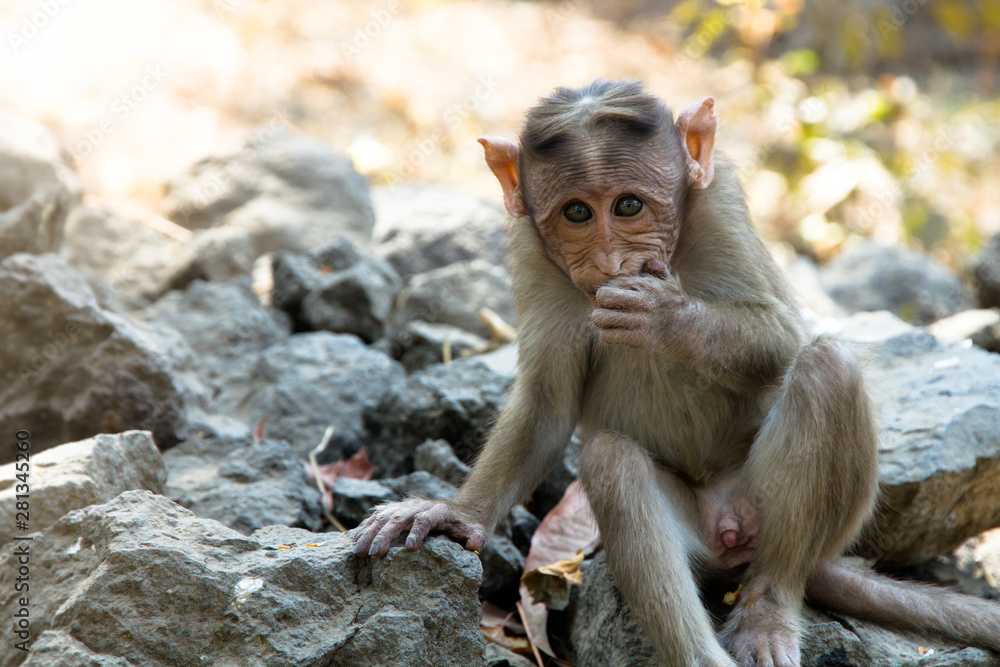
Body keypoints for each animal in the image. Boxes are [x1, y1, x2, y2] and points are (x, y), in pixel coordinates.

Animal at [353, 80, 1000, 666]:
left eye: (629, 205)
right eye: (577, 212)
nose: (611, 262)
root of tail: (730, 530)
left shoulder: (722, 200)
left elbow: (782, 333)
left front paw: (666, 318)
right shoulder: (530, 250)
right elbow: (547, 403)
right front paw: (455, 514)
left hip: (778, 513)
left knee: (826, 367)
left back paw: (769, 608)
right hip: (702, 543)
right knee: (612, 462)